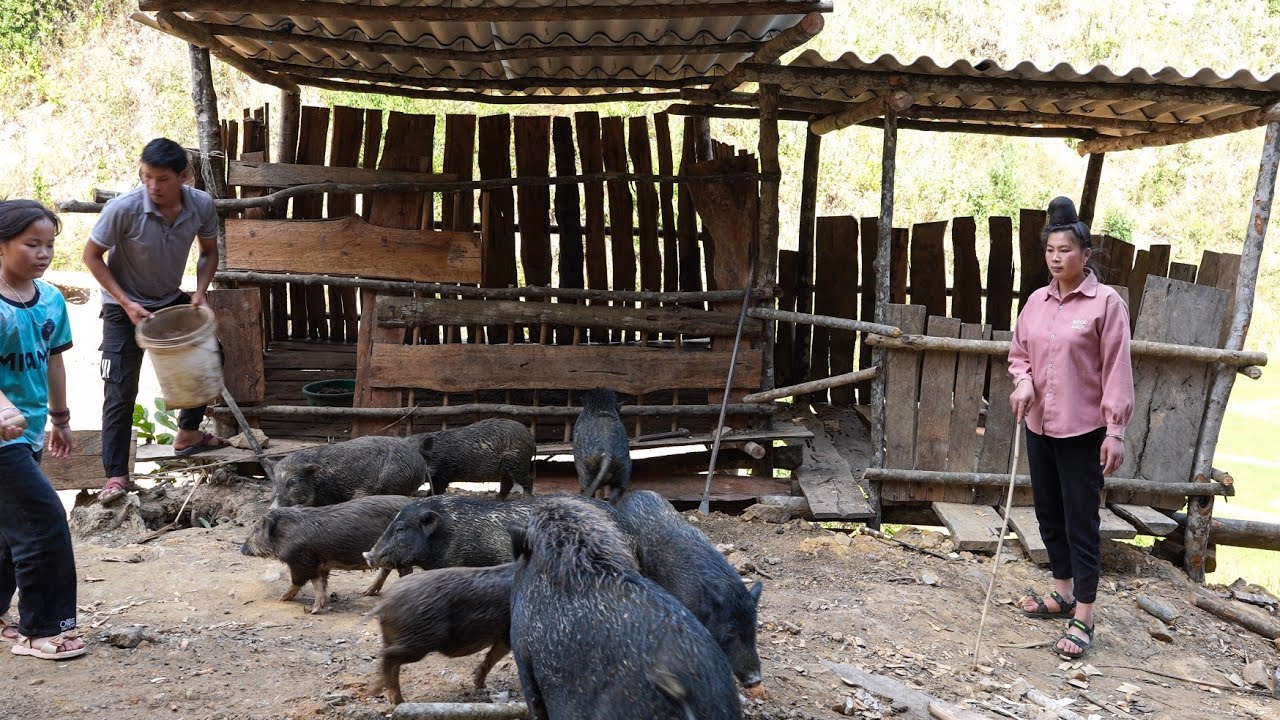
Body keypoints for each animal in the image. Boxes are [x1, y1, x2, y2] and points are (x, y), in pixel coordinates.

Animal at [240, 495, 415, 613]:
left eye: (255, 529)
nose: (241, 548)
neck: (287, 534)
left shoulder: (302, 561)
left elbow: (299, 581)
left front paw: (284, 599)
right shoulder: (320, 564)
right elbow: (319, 584)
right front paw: (316, 608)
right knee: (386, 569)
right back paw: (366, 593)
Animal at [369, 563, 515, 705]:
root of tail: (385, 602)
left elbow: (491, 657)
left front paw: (480, 685)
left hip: (395, 638)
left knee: (392, 663)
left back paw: (397, 702)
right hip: (419, 640)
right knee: (387, 657)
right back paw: (378, 692)